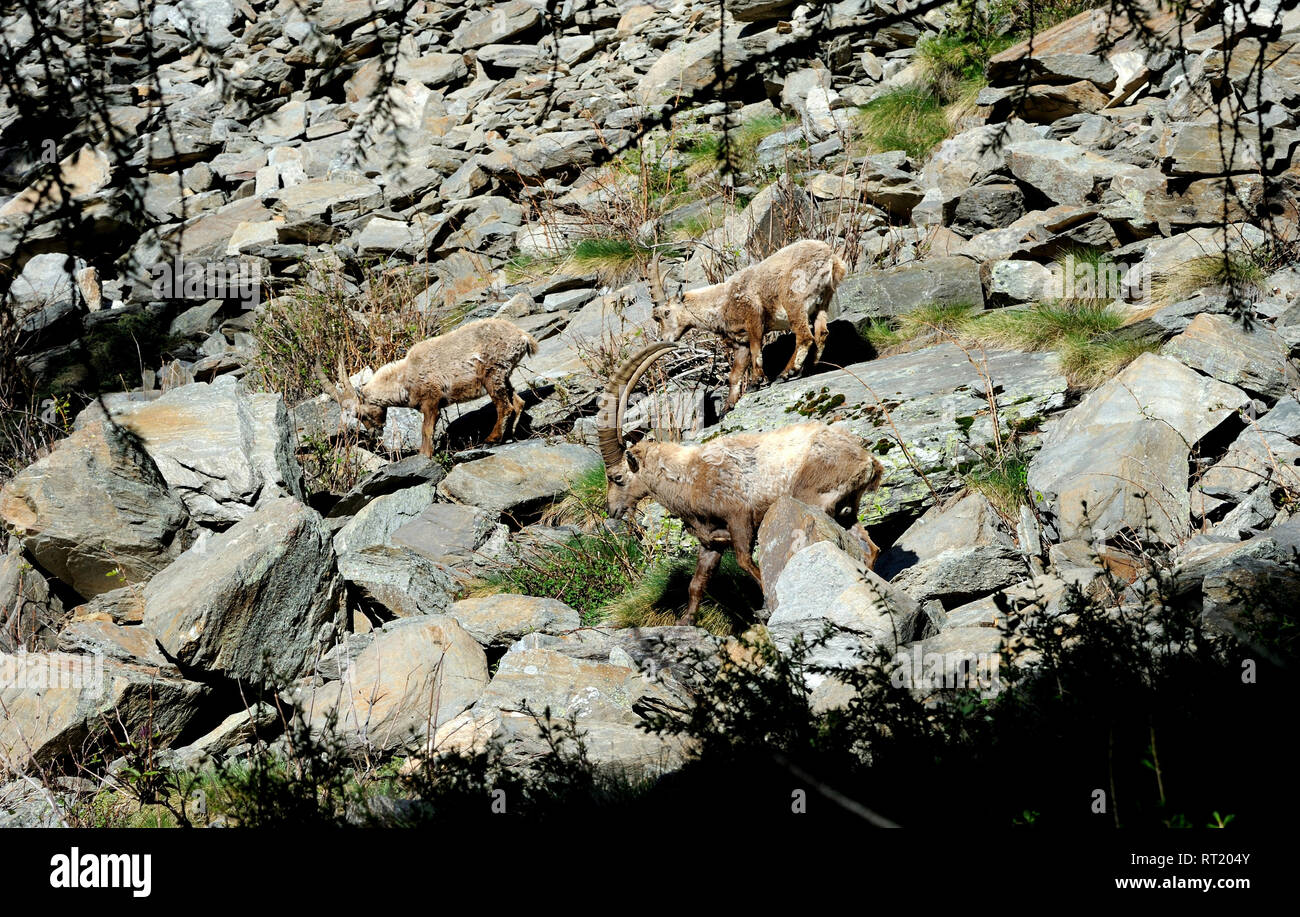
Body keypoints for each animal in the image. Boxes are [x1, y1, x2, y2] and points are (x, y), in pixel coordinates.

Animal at [321, 317, 538, 458]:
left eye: (361, 414)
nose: (375, 433)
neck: (404, 377)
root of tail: (523, 337)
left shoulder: (431, 401)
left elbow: (426, 430)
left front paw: (424, 454)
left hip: (492, 374)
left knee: (505, 406)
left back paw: (492, 438)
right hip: (504, 377)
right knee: (518, 402)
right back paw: (510, 434)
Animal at [598, 342, 883, 625]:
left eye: (617, 478)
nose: (612, 510)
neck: (688, 476)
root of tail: (868, 460)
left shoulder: (739, 517)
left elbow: (745, 562)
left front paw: (766, 606)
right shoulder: (710, 541)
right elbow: (697, 583)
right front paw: (686, 621)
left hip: (813, 500)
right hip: (846, 510)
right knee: (869, 548)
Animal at [646, 239, 849, 409]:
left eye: (666, 313)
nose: (664, 338)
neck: (721, 302)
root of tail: (830, 258)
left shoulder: (754, 317)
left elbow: (756, 350)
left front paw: (756, 382)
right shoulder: (739, 341)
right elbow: (735, 374)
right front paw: (727, 407)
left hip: (794, 301)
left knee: (805, 337)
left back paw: (786, 373)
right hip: (822, 302)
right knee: (821, 334)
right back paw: (809, 368)